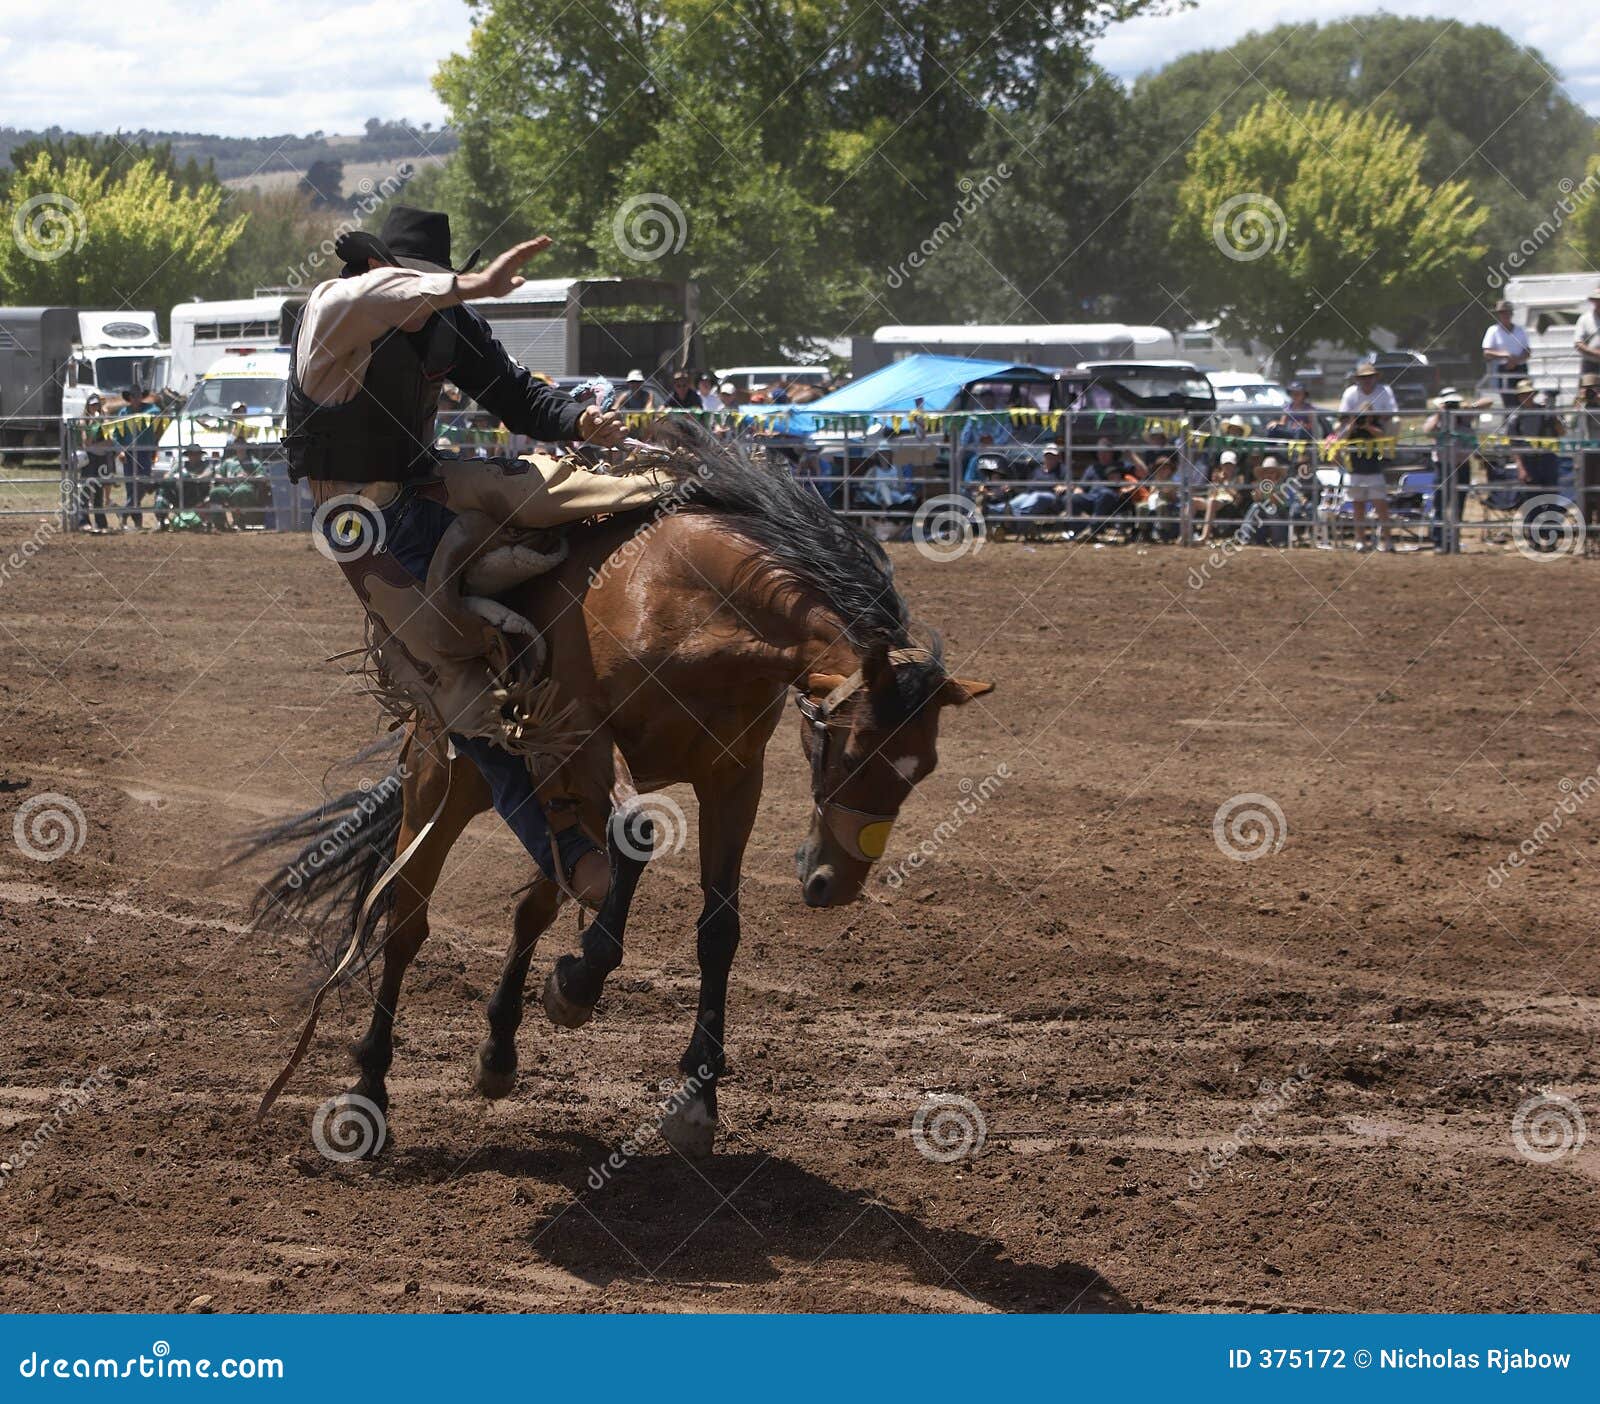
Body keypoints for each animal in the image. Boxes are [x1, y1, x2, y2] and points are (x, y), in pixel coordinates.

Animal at [246, 421, 993, 1157]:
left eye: (924, 767)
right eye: (853, 748)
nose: (833, 884)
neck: (690, 598)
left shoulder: (734, 777)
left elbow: (717, 927)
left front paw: (696, 1098)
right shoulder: (588, 741)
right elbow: (636, 835)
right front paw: (579, 985)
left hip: (550, 798)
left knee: (536, 906)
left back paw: (499, 1052)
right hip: (448, 782)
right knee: (407, 924)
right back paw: (369, 1090)